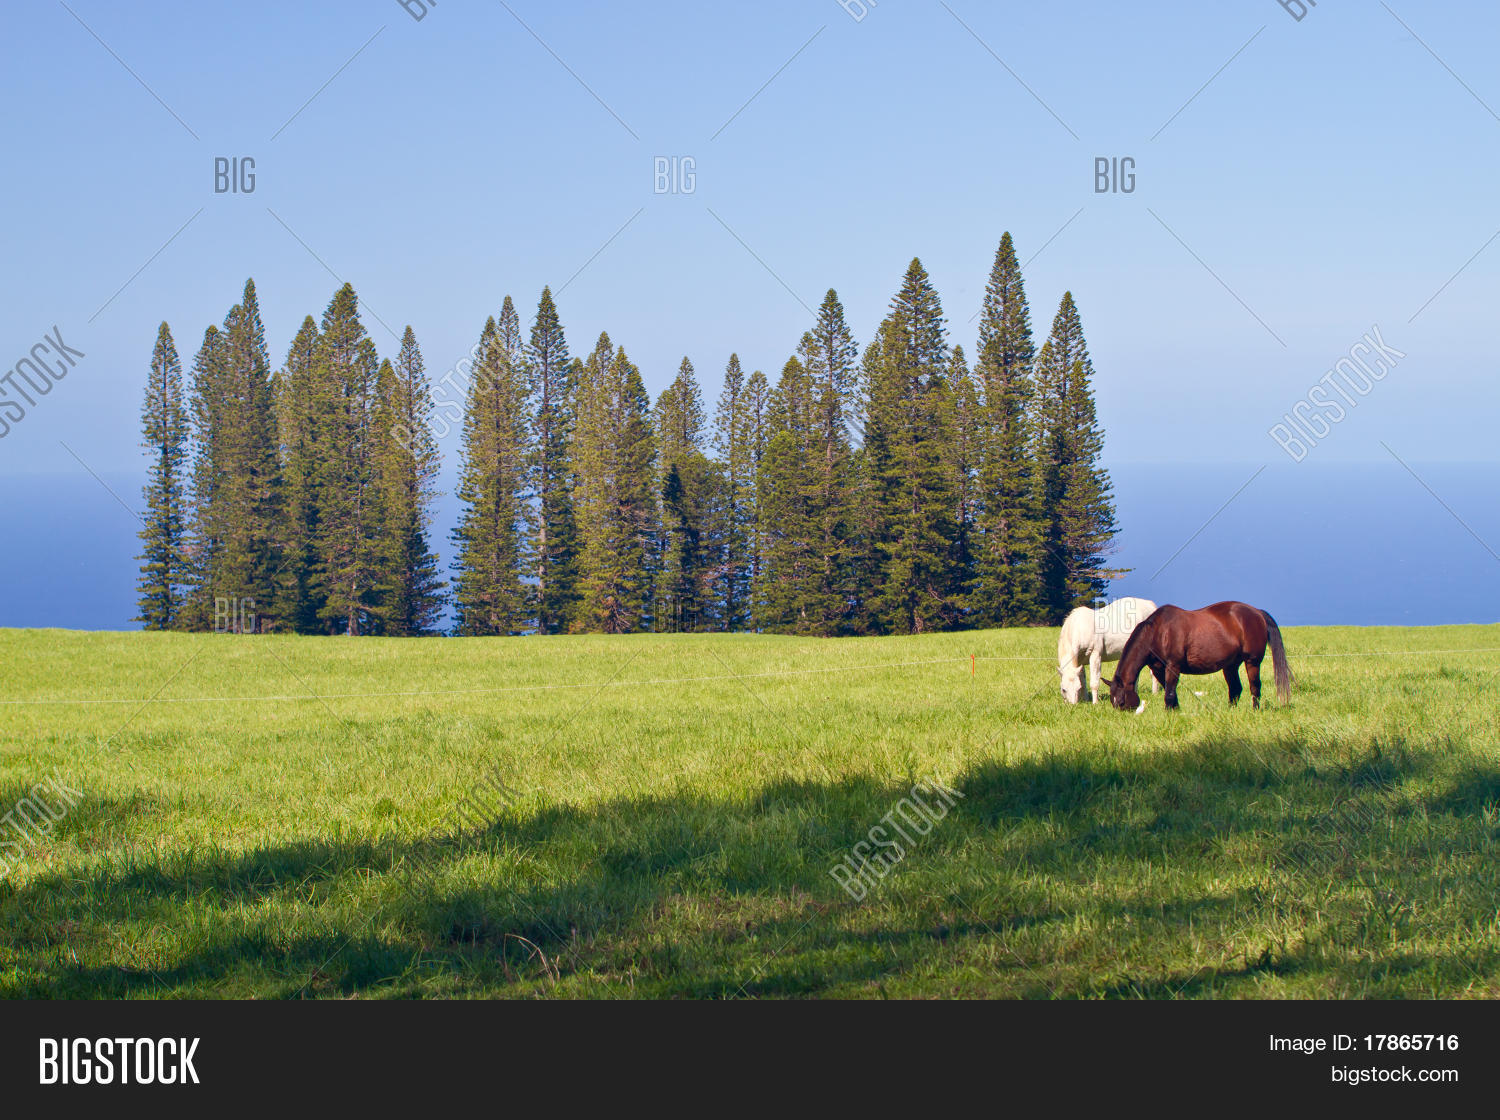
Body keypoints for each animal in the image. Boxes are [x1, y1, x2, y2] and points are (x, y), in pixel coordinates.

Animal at [1104, 601, 1291, 712]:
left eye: (1121, 702)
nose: (1124, 713)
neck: (1158, 632)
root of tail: (1257, 612)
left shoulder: (1173, 666)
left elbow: (1169, 692)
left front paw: (1169, 712)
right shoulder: (1158, 669)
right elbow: (1169, 690)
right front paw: (1175, 710)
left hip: (1252, 661)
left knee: (1255, 687)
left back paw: (1255, 709)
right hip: (1230, 666)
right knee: (1235, 688)